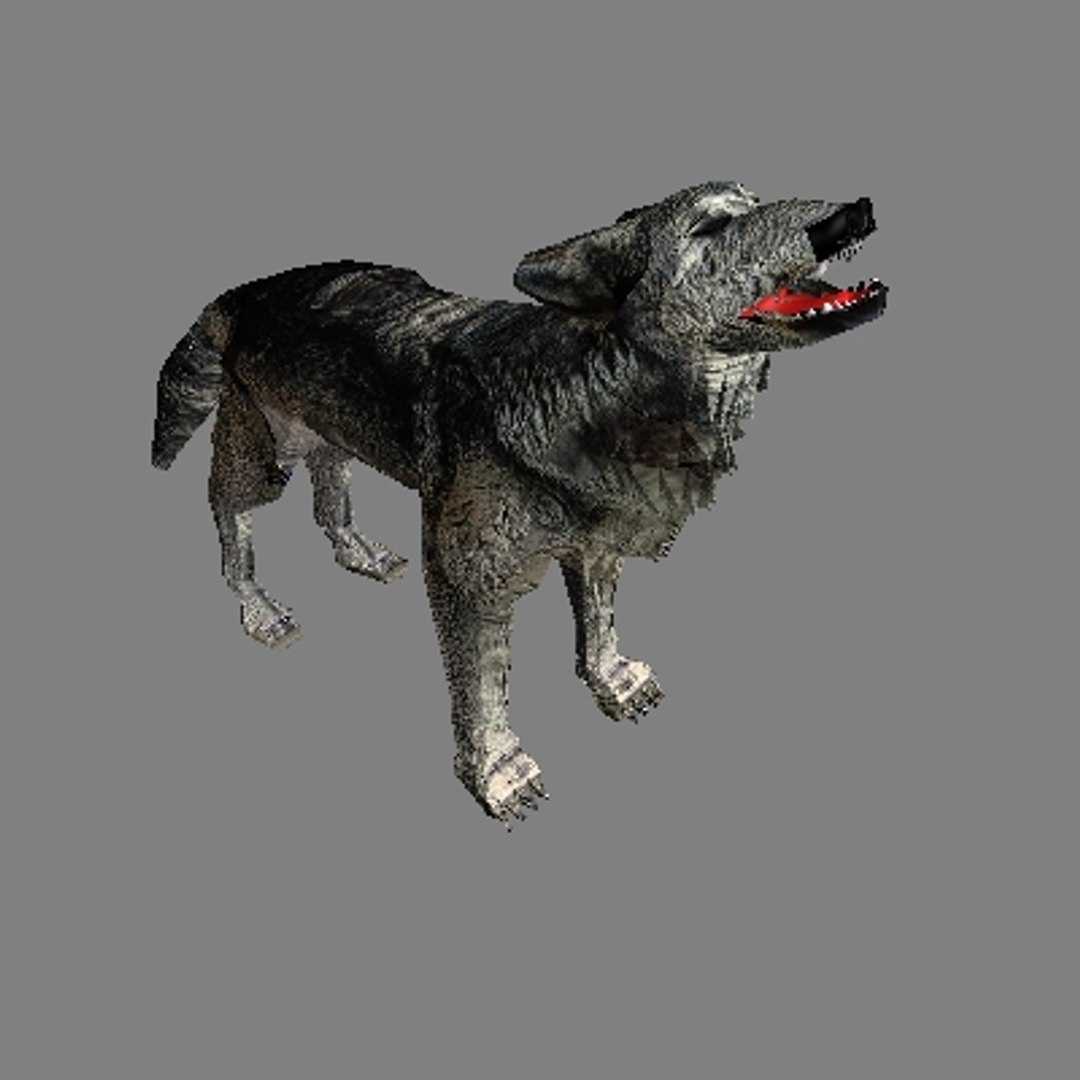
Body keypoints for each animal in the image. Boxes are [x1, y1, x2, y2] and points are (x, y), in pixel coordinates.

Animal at [152, 181, 887, 826]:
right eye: (711, 227)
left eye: (753, 203)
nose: (854, 212)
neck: (603, 391)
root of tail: (245, 291)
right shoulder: (468, 584)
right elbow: (484, 692)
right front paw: (499, 774)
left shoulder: (594, 546)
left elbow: (599, 627)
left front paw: (612, 680)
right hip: (265, 458)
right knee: (228, 514)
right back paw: (257, 605)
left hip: (333, 434)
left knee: (330, 494)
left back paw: (357, 550)